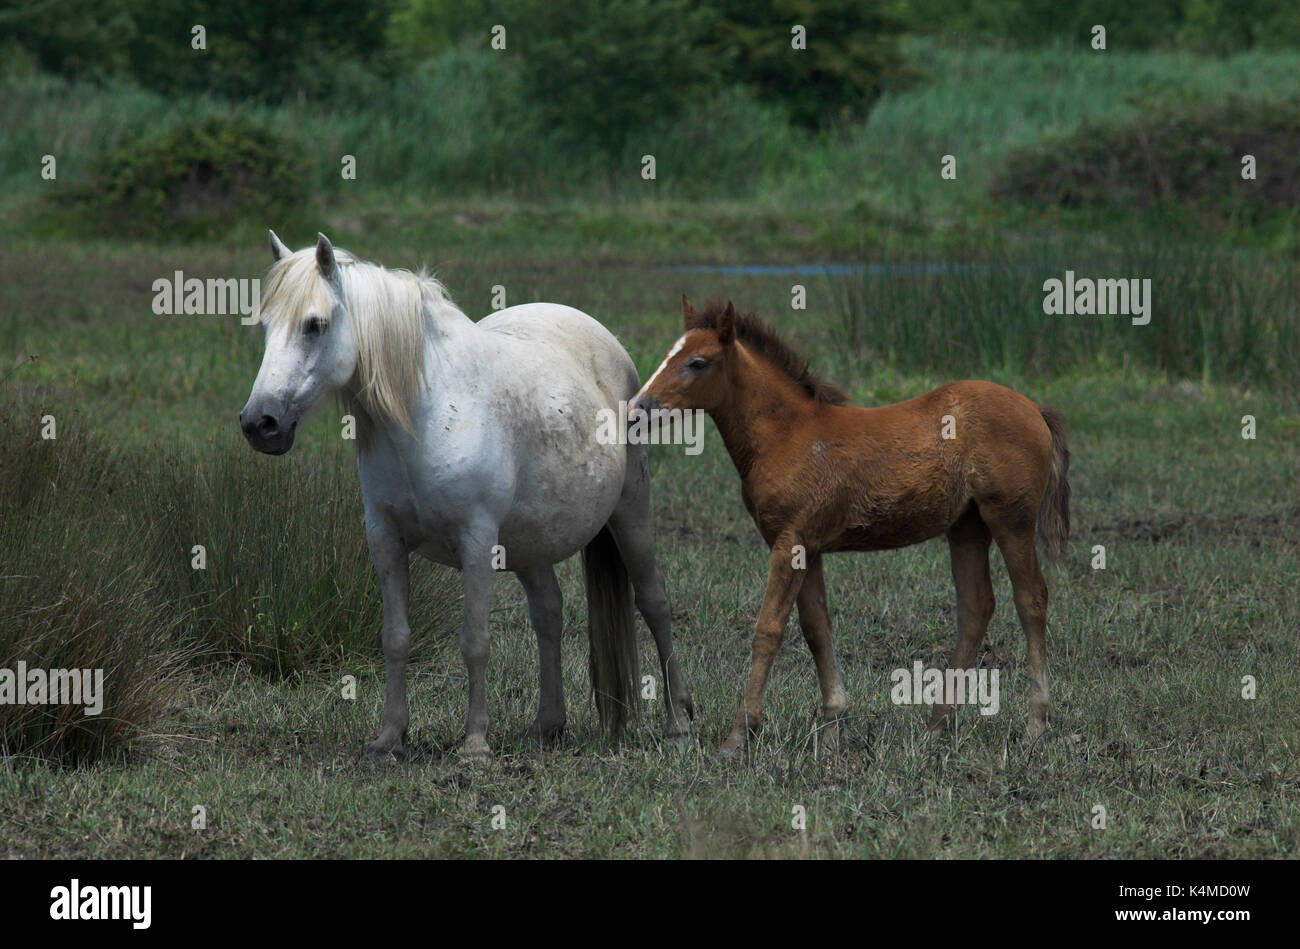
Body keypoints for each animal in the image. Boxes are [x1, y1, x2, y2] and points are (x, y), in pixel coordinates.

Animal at [239, 231, 693, 761]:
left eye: (315, 325)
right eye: (267, 325)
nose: (260, 423)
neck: (426, 414)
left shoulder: (476, 540)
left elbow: (475, 640)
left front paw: (475, 742)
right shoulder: (384, 538)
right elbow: (395, 638)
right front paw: (390, 737)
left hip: (629, 512)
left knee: (654, 602)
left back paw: (678, 721)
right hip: (529, 542)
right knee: (549, 614)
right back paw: (547, 725)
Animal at [629, 297, 1069, 757]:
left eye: (697, 362)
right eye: (669, 353)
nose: (639, 407)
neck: (787, 435)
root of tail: (1035, 409)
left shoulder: (789, 543)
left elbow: (768, 629)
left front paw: (739, 737)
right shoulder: (807, 546)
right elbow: (816, 629)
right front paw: (832, 730)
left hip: (1011, 519)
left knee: (1031, 600)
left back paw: (1036, 724)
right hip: (967, 526)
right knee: (976, 607)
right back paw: (935, 728)